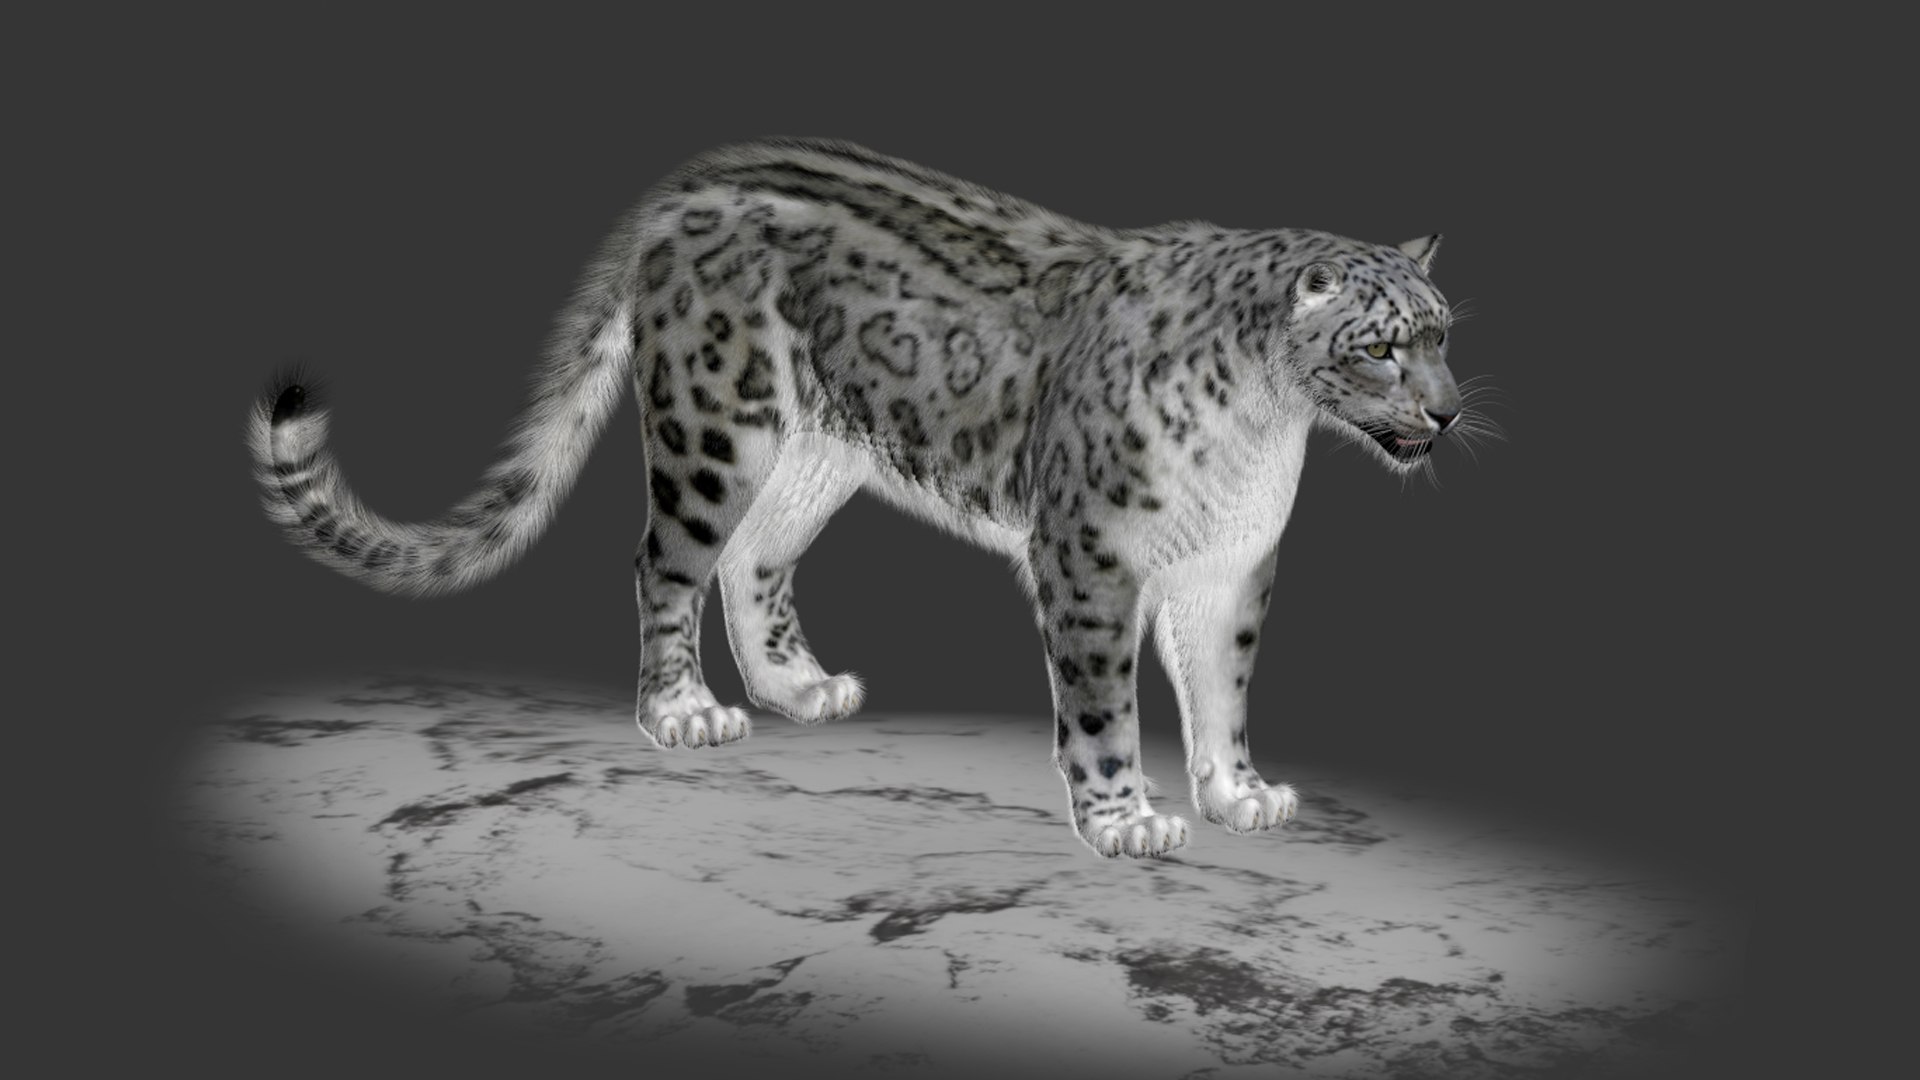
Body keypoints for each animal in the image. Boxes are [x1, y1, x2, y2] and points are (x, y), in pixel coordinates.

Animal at [248, 137, 1477, 859]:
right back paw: (682, 712)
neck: (1264, 439)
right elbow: (1103, 708)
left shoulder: (1231, 569)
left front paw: (1238, 793)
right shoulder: (1092, 559)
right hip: (715, 427)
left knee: (753, 557)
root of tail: (682, 187)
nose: (1451, 412)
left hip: (813, 453)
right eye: (1381, 348)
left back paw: (798, 687)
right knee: (667, 561)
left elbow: (1222, 689)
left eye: (1445, 334)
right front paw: (1127, 818)